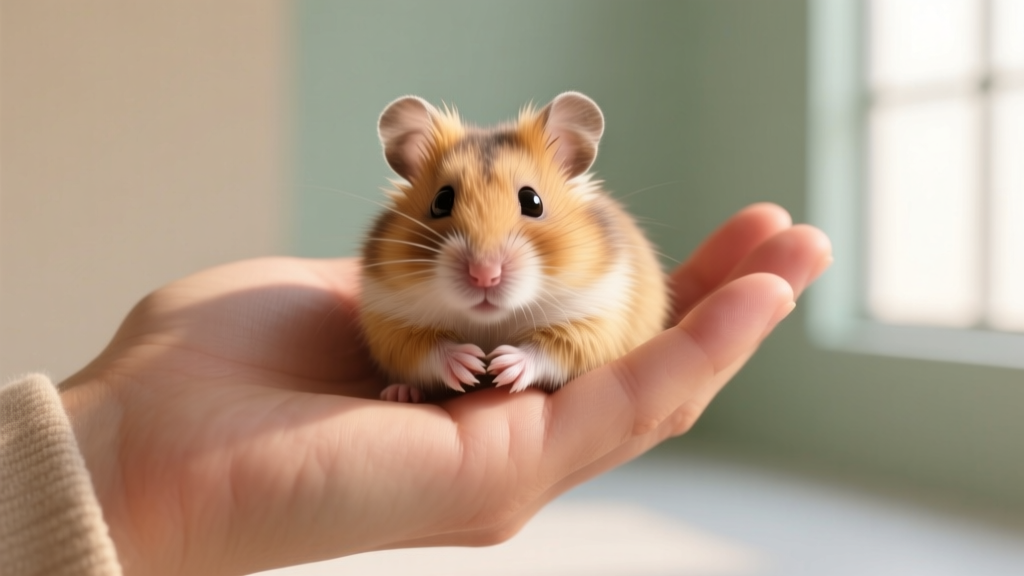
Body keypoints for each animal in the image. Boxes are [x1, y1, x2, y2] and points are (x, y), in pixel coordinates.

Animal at [360, 92, 668, 402]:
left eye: (533, 202)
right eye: (441, 201)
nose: (484, 275)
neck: (490, 322)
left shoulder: (595, 315)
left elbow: (552, 350)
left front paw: (501, 365)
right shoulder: (388, 319)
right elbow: (423, 349)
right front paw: (471, 363)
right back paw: (401, 393)